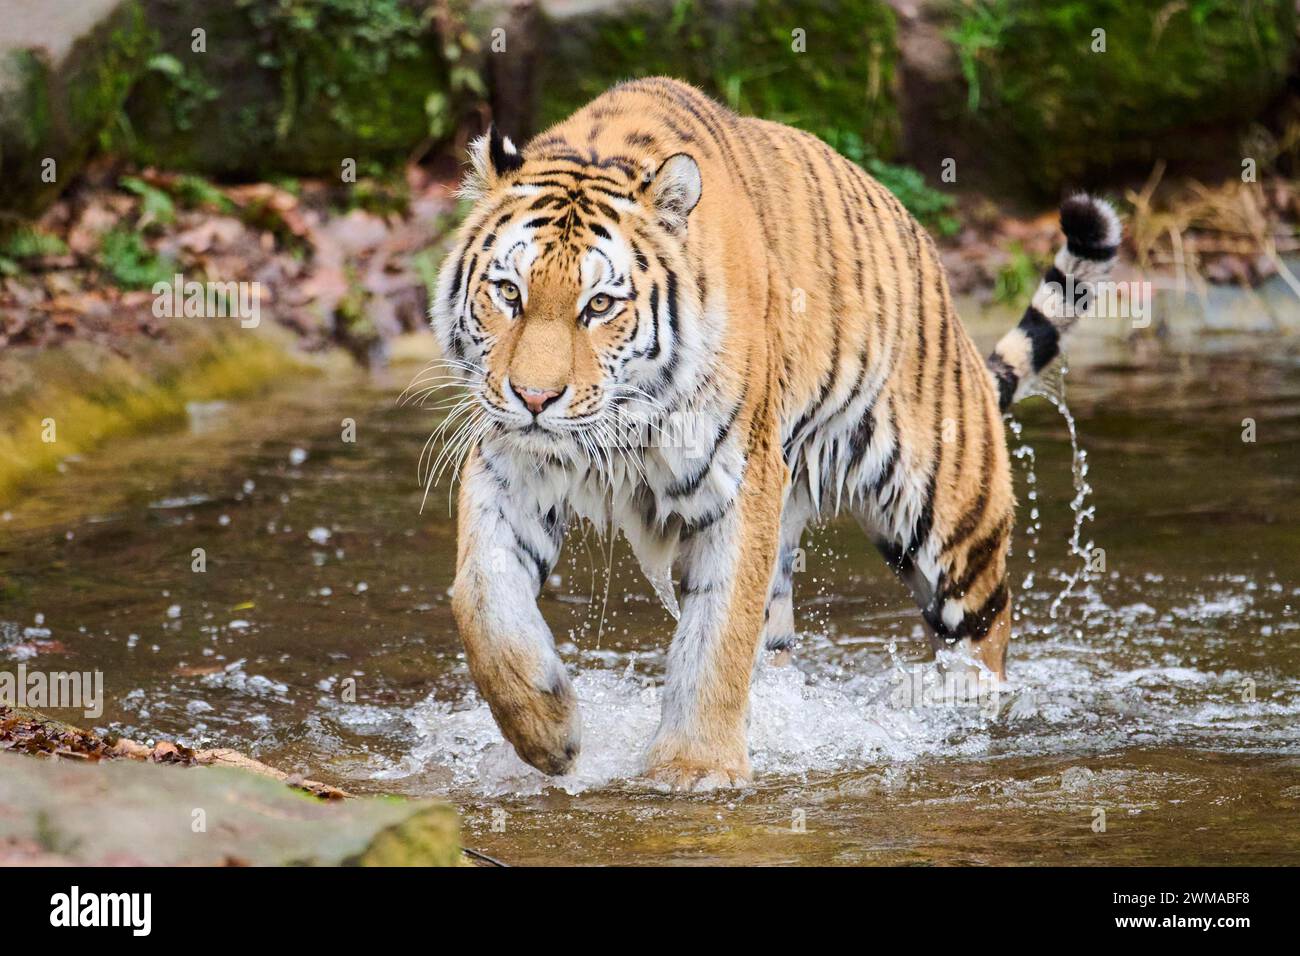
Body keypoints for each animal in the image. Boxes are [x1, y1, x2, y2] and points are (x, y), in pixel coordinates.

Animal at [429, 77, 1120, 790]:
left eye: (599, 305)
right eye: (508, 293)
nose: (534, 398)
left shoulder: (740, 482)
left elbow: (718, 638)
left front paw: (694, 768)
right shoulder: (509, 466)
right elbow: (481, 599)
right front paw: (548, 733)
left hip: (947, 514)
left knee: (984, 629)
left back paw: (963, 711)